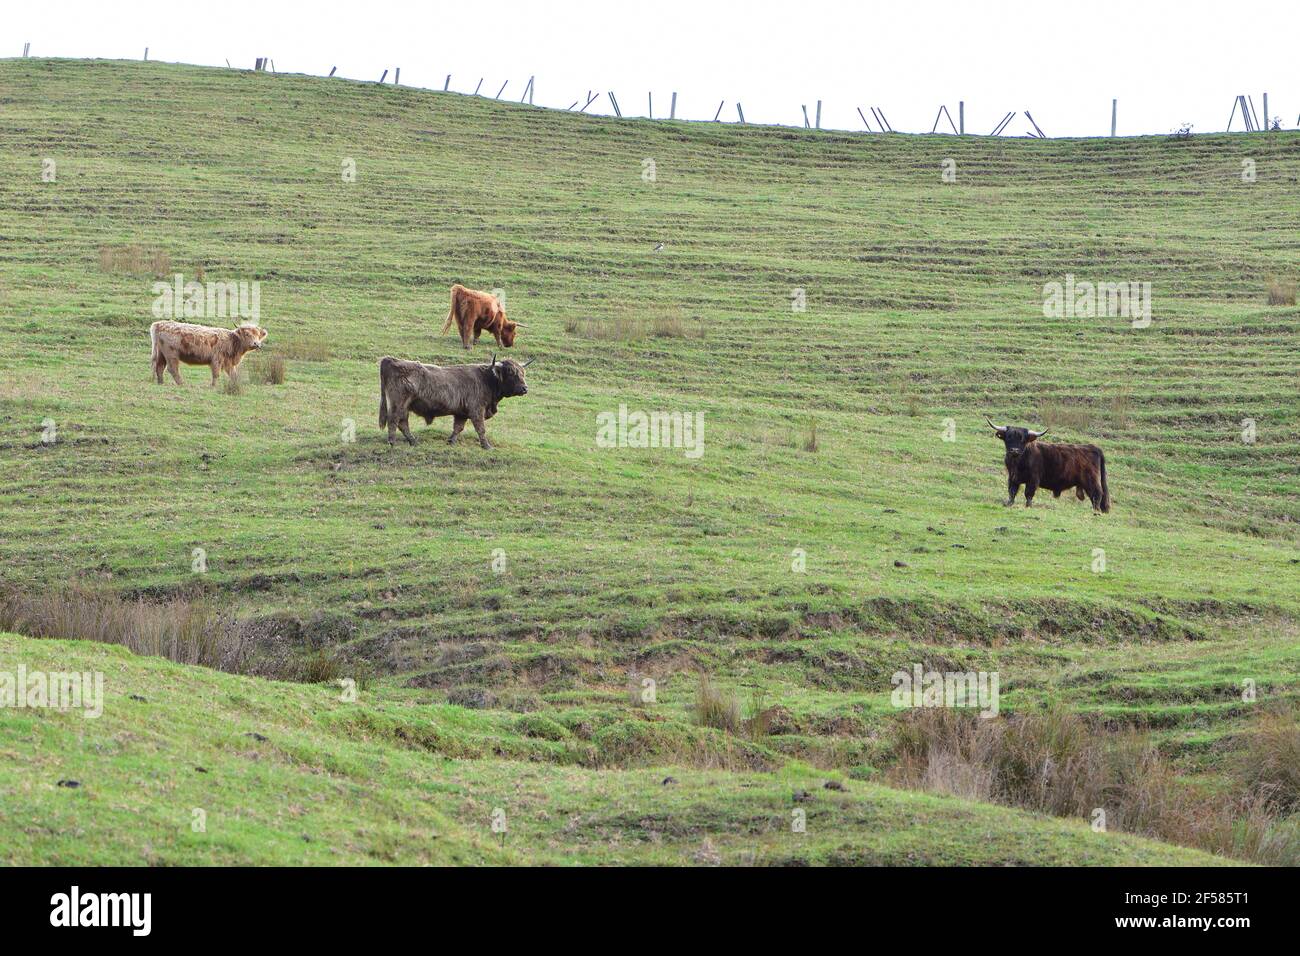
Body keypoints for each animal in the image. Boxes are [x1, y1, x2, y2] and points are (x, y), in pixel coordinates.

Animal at [378, 353, 531, 448]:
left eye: (523, 373)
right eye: (511, 373)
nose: (525, 388)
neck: (487, 379)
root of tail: (391, 360)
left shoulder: (461, 413)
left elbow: (458, 427)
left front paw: (451, 442)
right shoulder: (477, 410)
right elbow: (480, 429)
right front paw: (487, 446)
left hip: (405, 405)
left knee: (403, 423)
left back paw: (413, 442)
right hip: (398, 403)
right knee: (394, 420)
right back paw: (392, 442)